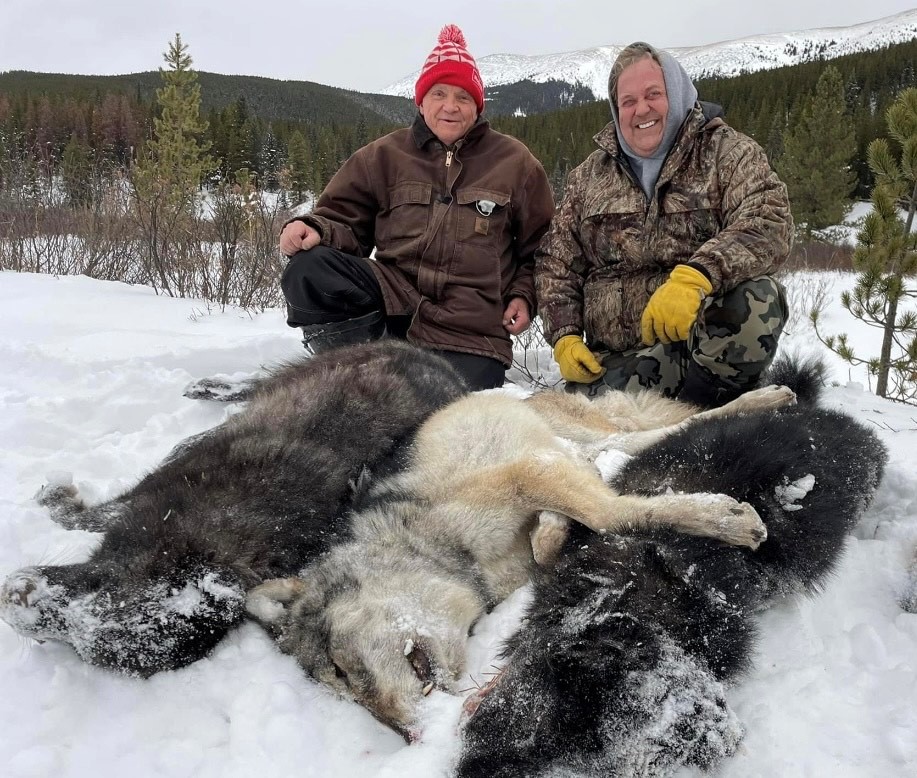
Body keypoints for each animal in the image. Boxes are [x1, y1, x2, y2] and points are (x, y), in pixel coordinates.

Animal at [0, 340, 467, 677]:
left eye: (66, 639)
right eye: (101, 584)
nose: (11, 598)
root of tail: (447, 367)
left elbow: (90, 515)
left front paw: (57, 499)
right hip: (323, 364)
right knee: (260, 382)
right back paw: (216, 387)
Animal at [245, 381, 798, 739]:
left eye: (340, 671)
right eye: (348, 701)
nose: (410, 736)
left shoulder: (527, 472)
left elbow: (609, 513)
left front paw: (723, 518)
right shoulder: (539, 476)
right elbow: (559, 536)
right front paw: (553, 531)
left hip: (572, 429)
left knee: (665, 427)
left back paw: (767, 399)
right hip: (575, 438)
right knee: (625, 444)